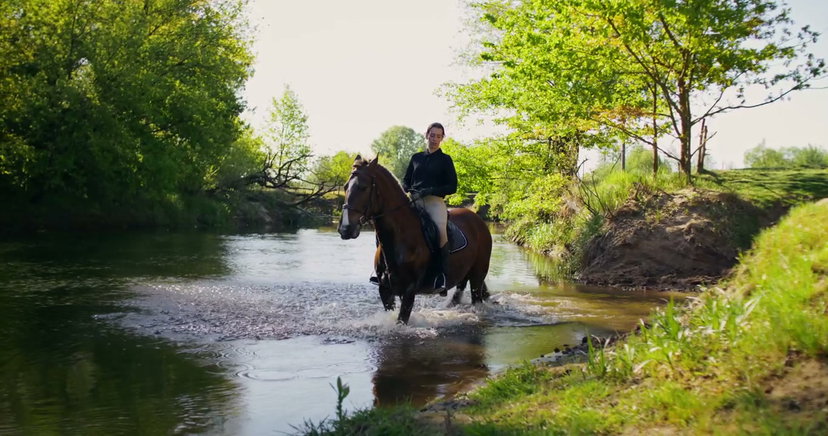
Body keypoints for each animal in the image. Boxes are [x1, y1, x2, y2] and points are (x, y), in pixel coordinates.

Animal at [338, 155, 493, 324]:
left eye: (363, 187)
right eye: (345, 187)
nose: (345, 229)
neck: (400, 237)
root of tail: (477, 220)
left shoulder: (409, 290)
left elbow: (402, 320)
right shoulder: (385, 289)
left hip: (477, 275)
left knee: (476, 297)